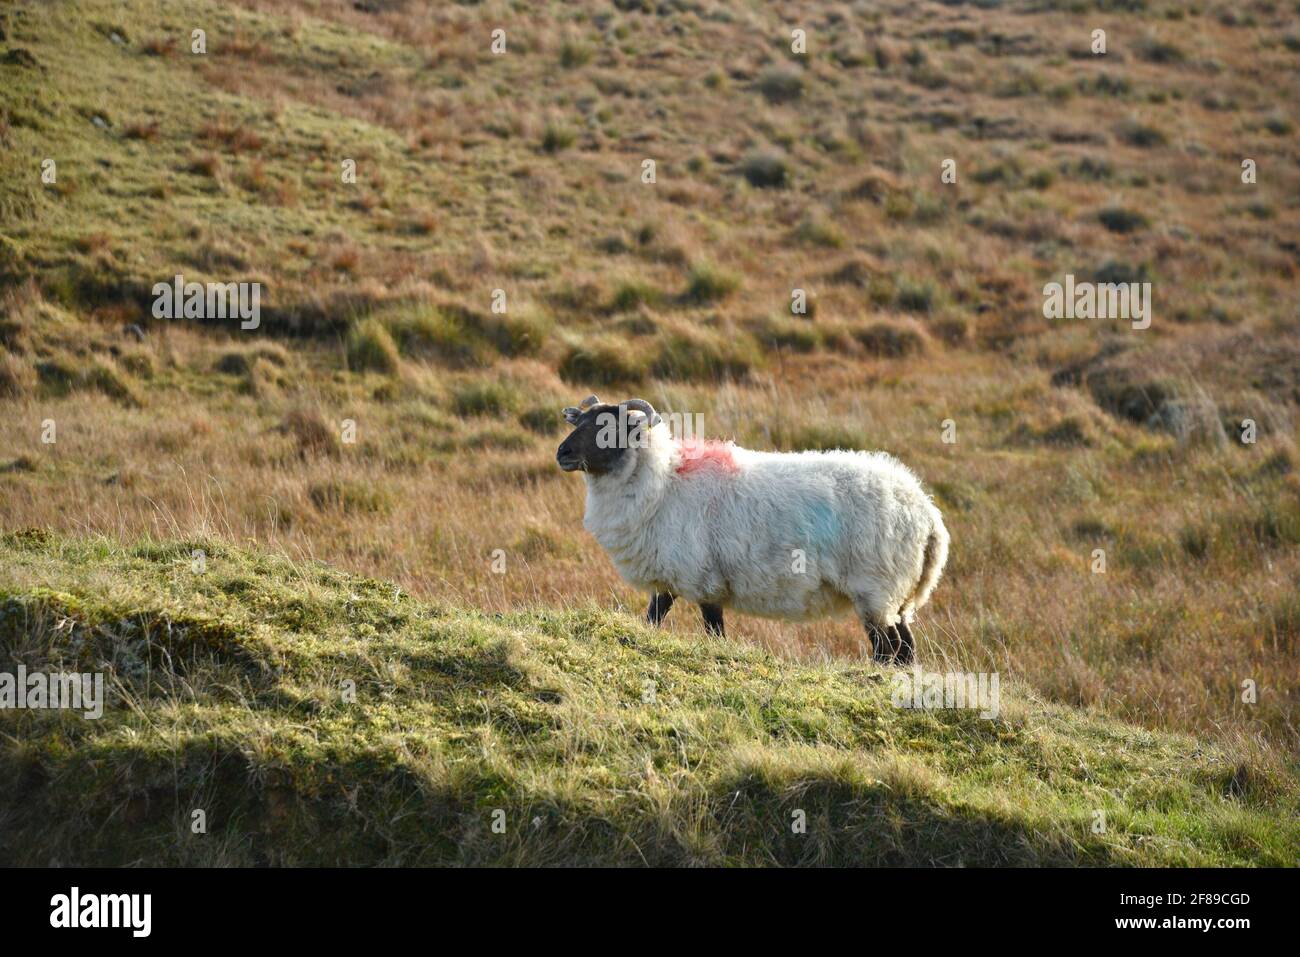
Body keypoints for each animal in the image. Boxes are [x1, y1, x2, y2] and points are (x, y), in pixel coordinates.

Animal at [556, 395, 949, 664]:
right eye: (581, 421)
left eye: (608, 429)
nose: (562, 453)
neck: (662, 483)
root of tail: (927, 515)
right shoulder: (675, 577)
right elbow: (656, 619)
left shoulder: (702, 577)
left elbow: (711, 630)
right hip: (896, 596)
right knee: (906, 647)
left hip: (874, 588)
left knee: (888, 648)